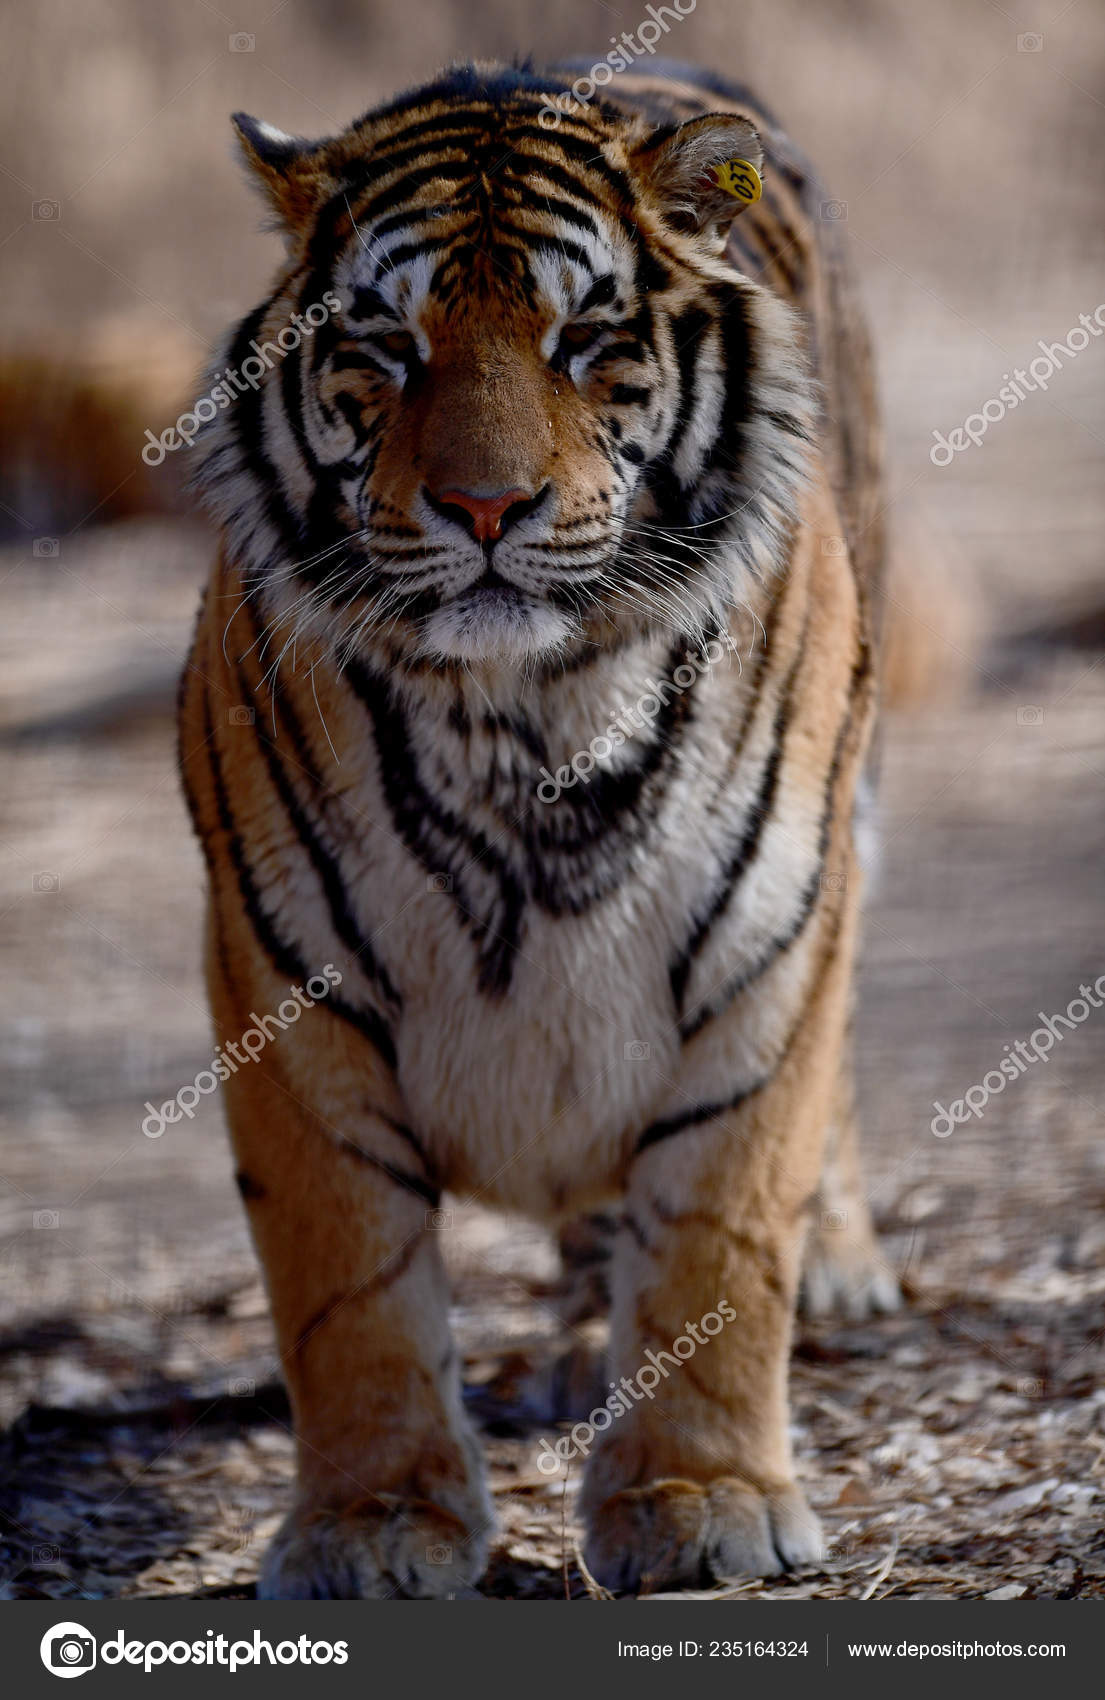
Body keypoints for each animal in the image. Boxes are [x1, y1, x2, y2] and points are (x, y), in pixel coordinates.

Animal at [179, 58, 901, 1599]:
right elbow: (348, 1281)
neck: (528, 713)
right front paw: (373, 1523)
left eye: (584, 340)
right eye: (385, 345)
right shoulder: (284, 969)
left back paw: (835, 1262)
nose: (485, 505)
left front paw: (702, 1499)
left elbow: (721, 1235)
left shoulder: (766, 937)